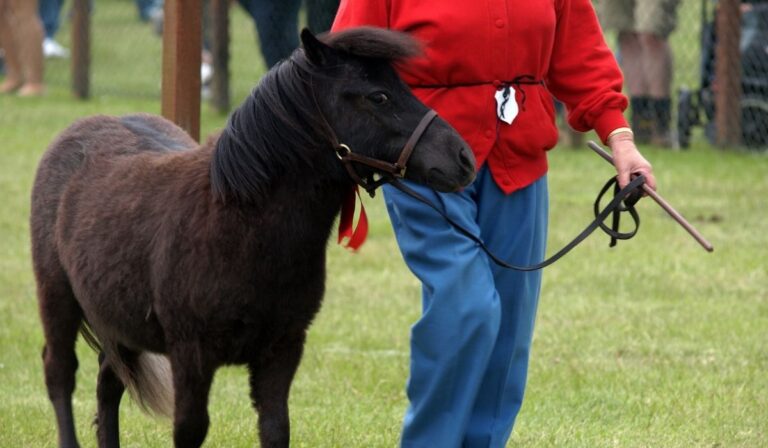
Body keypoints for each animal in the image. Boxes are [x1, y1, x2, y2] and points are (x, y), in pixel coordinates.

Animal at [29, 27, 475, 448]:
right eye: (378, 96)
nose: (464, 159)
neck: (239, 224)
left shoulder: (282, 349)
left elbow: (276, 428)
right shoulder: (191, 353)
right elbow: (190, 430)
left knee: (108, 382)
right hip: (57, 297)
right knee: (60, 372)